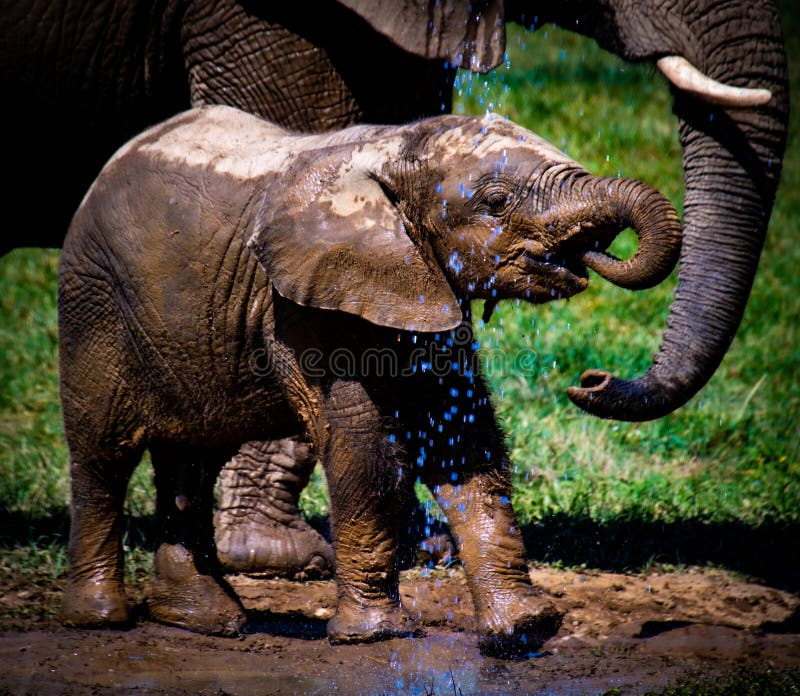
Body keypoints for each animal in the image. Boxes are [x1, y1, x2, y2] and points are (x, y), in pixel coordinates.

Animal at [57, 106, 681, 654]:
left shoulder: (418, 287)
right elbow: (366, 451)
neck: (394, 147)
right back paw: (100, 618)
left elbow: (466, 444)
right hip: (94, 298)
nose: (589, 379)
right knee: (103, 451)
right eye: (497, 201)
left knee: (192, 457)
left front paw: (526, 630)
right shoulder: (312, 304)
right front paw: (378, 635)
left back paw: (204, 620)